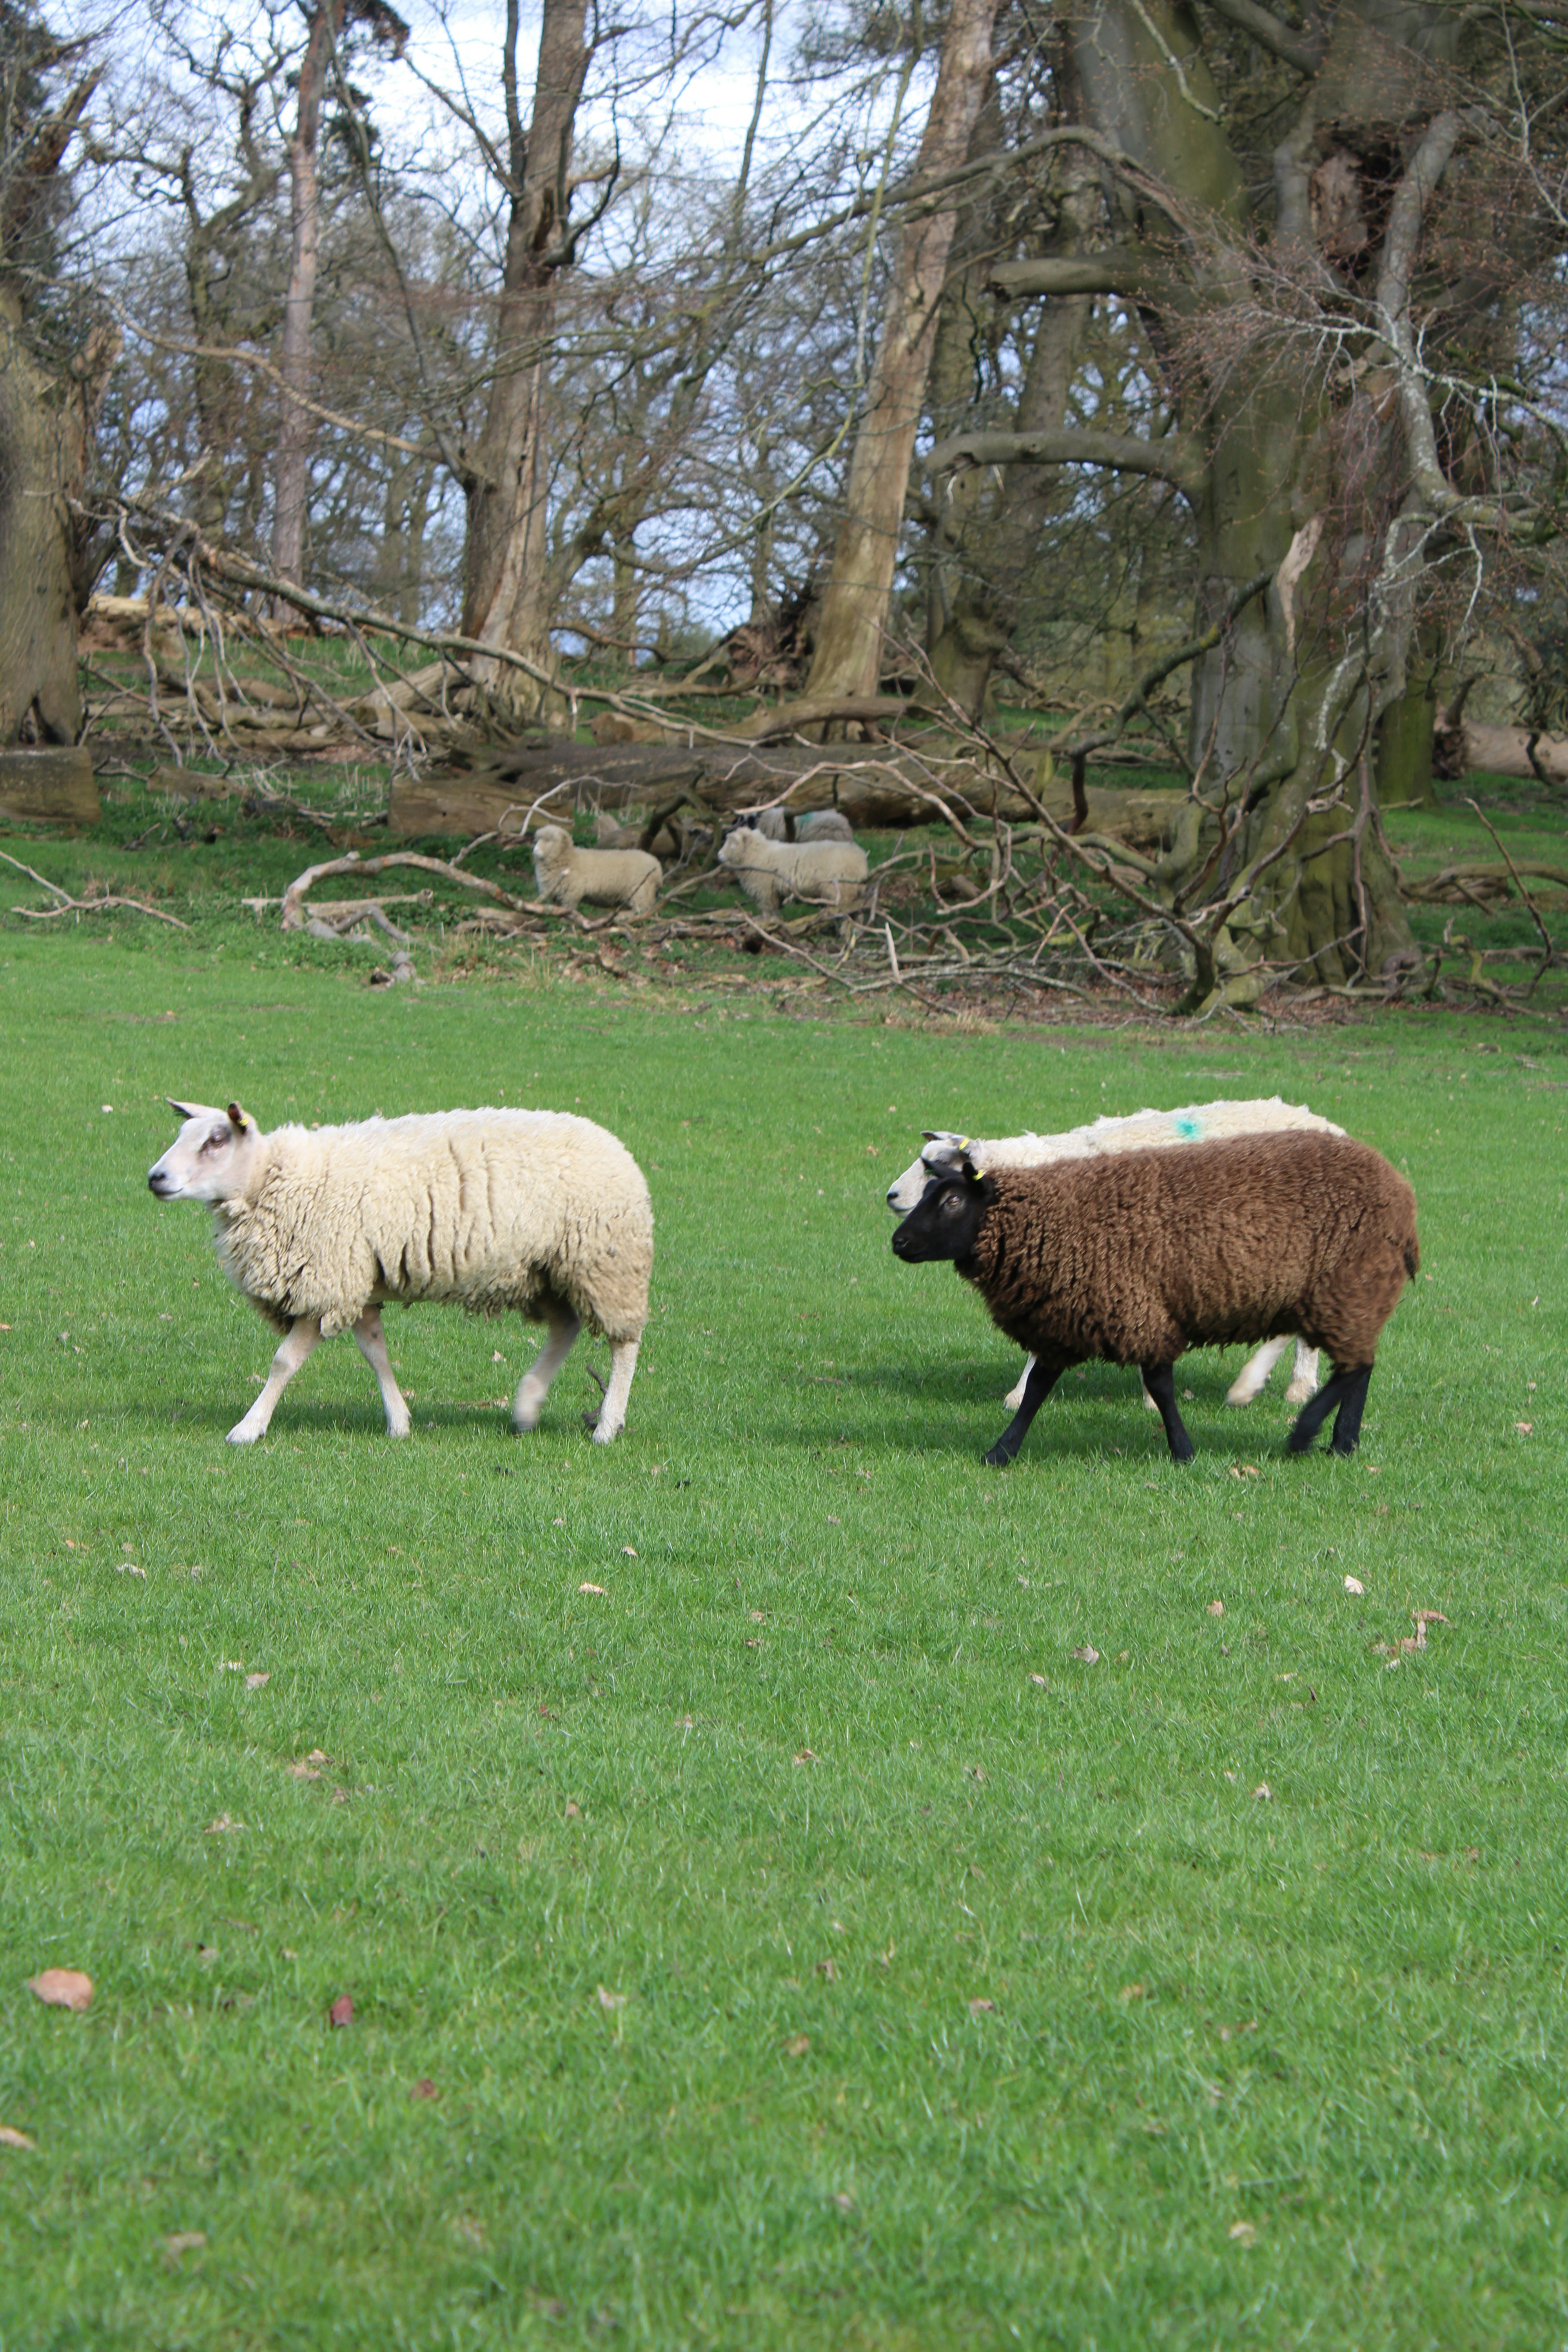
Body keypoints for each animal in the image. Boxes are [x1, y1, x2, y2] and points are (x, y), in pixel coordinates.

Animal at [147, 1100, 652, 1447]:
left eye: (216, 1140)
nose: (155, 1178)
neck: (276, 1180)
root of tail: (619, 1150)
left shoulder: (328, 1280)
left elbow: (283, 1361)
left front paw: (249, 1428)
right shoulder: (358, 1283)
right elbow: (376, 1353)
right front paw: (399, 1422)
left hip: (605, 1263)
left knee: (623, 1345)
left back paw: (607, 1425)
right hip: (544, 1269)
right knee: (565, 1326)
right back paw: (527, 1406)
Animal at [533, 824, 660, 914]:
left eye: (549, 841)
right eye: (537, 840)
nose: (535, 851)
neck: (569, 859)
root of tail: (657, 865)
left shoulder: (572, 893)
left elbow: (569, 908)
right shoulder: (550, 893)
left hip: (641, 891)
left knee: (644, 909)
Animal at [716, 824, 869, 919]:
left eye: (735, 843)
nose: (719, 855)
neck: (758, 854)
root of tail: (861, 860)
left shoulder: (764, 889)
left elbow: (768, 909)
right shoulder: (773, 890)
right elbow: (775, 910)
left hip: (841, 889)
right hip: (855, 891)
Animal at [890, 1132, 1418, 1465]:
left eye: (953, 1201)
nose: (898, 1242)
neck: (1049, 1221)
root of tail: (1401, 1196)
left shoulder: (1138, 1309)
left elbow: (1160, 1386)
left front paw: (1182, 1451)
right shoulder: (1065, 1320)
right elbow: (1037, 1390)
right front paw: (1000, 1452)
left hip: (1347, 1284)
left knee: (1353, 1366)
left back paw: (1305, 1432)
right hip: (1352, 1291)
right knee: (1359, 1367)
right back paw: (1342, 1443)